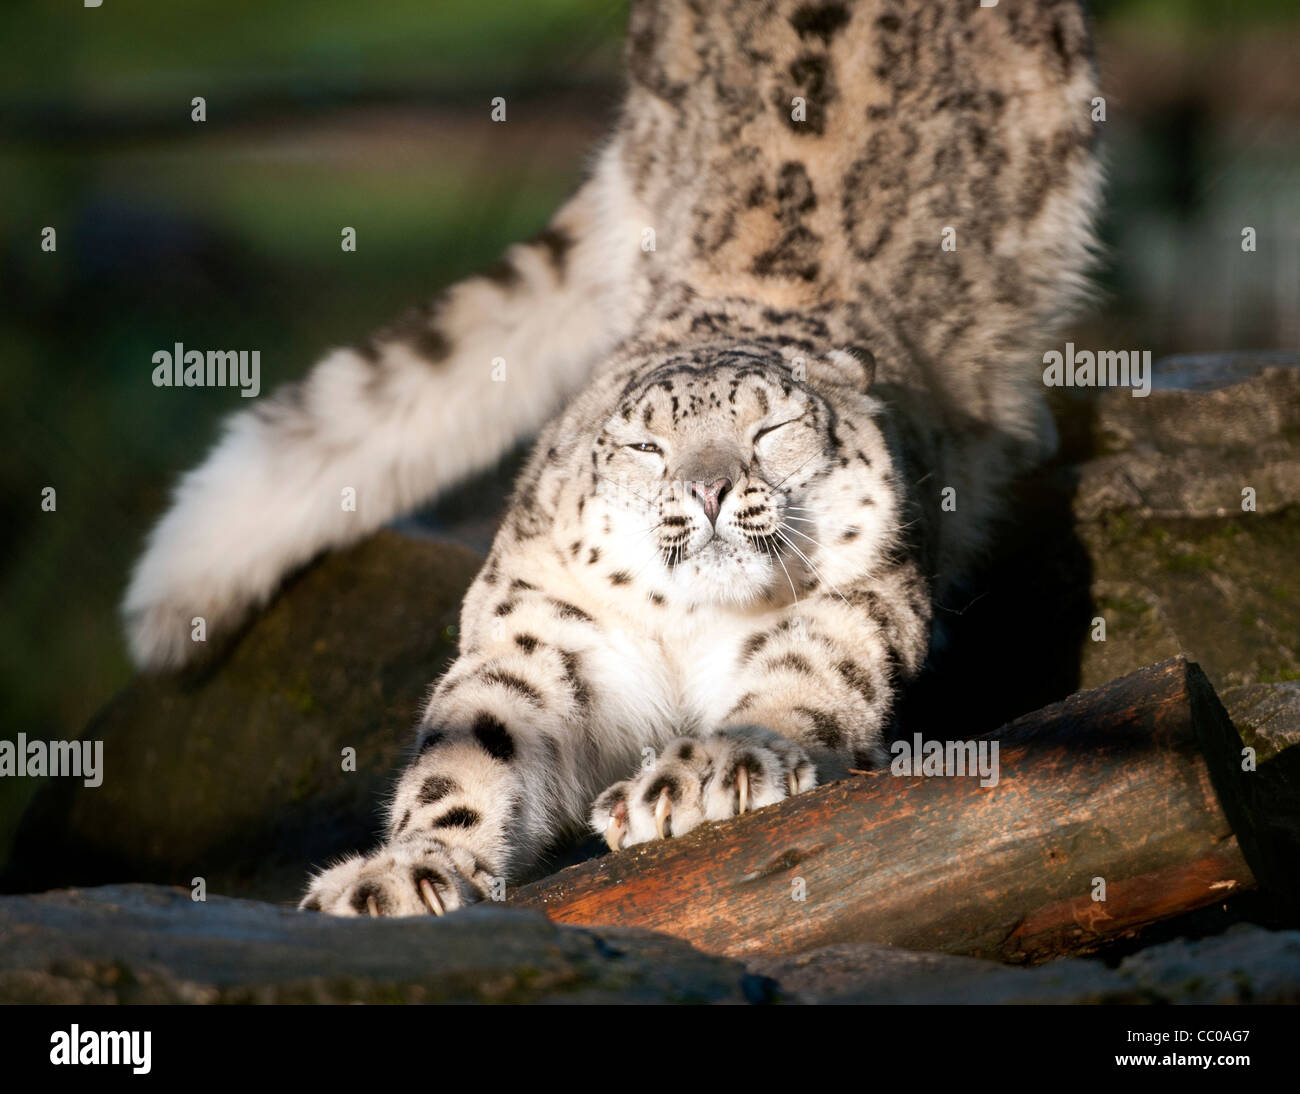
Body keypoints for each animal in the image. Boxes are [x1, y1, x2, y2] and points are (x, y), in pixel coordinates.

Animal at [122, 0, 1102, 916]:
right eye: (645, 445)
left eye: (771, 431)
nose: (710, 489)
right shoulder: (544, 624)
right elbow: (473, 744)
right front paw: (404, 873)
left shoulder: (856, 599)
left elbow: (805, 681)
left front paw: (703, 775)